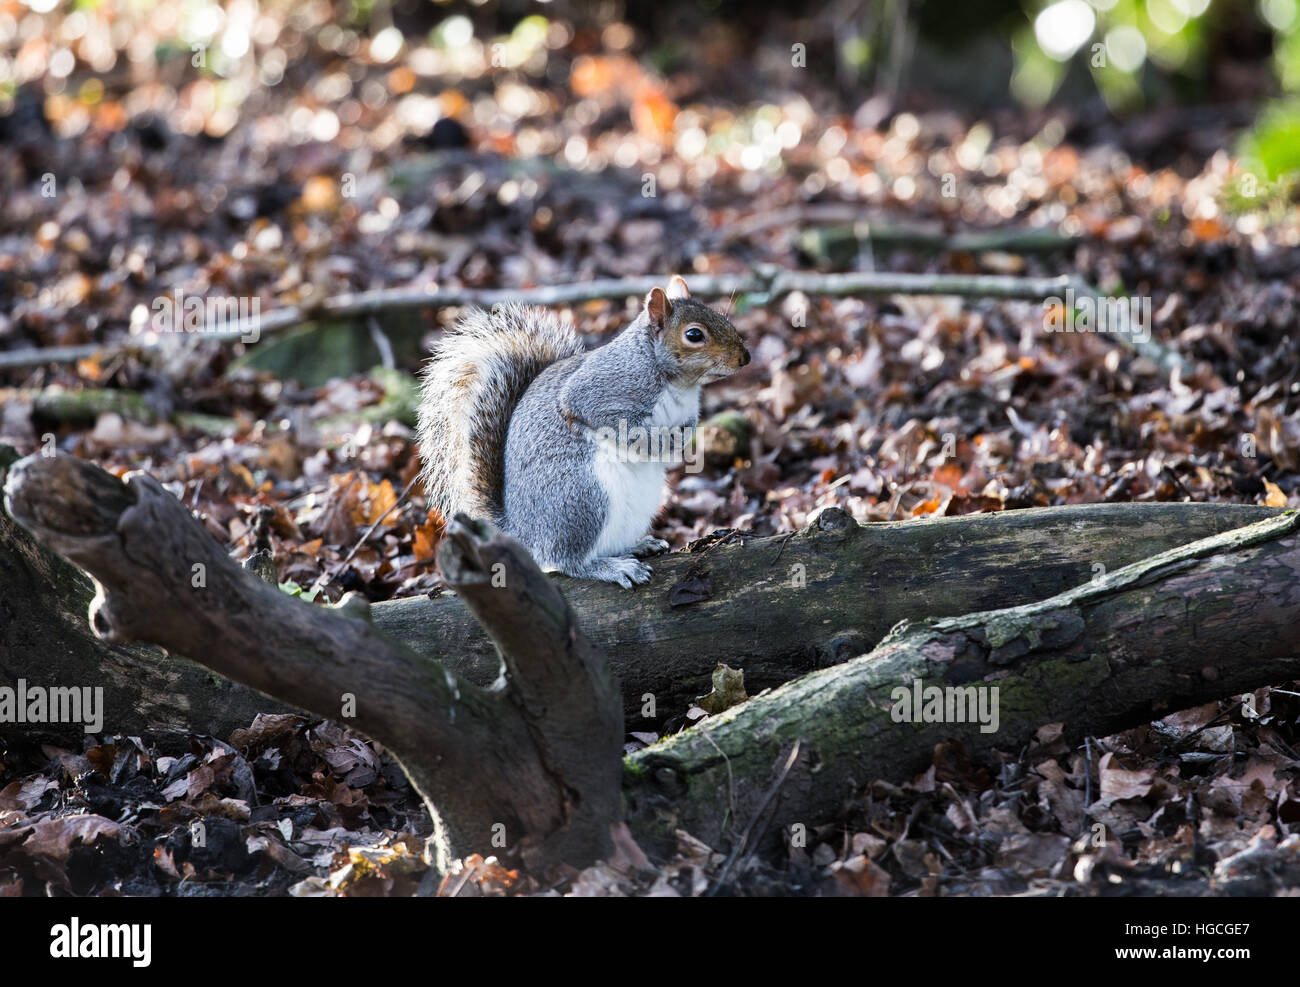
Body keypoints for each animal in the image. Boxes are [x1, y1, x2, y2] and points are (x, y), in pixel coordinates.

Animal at [417, 276, 750, 588]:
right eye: (694, 335)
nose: (745, 358)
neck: (679, 384)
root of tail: (521, 532)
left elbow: (688, 422)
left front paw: (681, 437)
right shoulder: (597, 392)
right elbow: (615, 423)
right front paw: (658, 442)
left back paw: (637, 546)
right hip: (582, 499)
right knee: (567, 560)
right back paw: (611, 568)